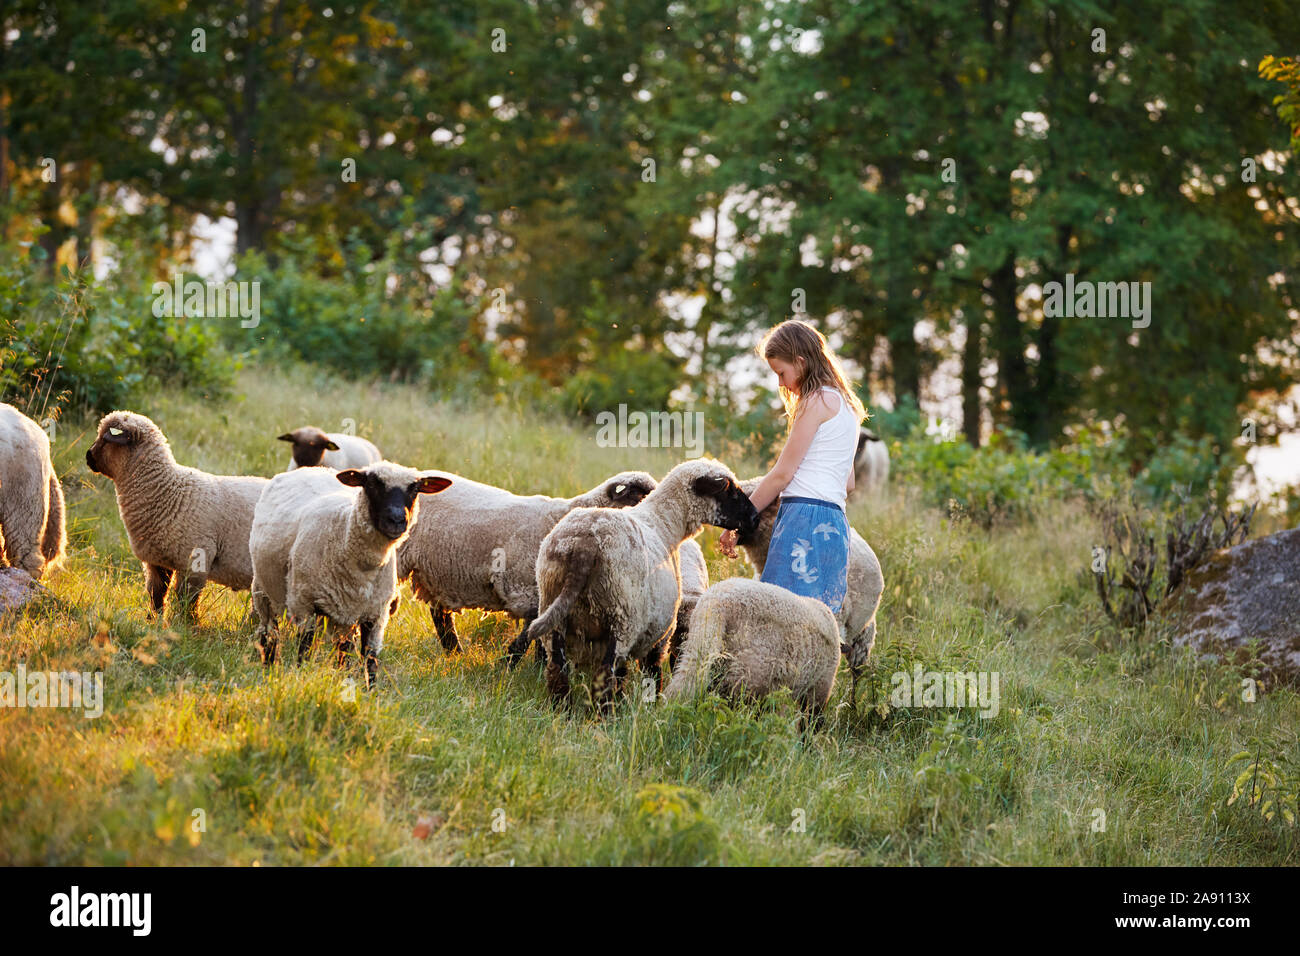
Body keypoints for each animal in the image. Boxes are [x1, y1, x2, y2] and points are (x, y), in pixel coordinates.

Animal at [86, 411, 270, 619]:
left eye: (105, 439)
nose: (87, 456)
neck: (169, 492)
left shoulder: (195, 562)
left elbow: (186, 601)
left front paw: (187, 623)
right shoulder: (157, 562)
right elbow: (156, 595)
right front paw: (154, 621)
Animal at [250, 462, 451, 686]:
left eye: (415, 489)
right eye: (372, 484)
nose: (397, 520)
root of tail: (310, 468)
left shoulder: (376, 613)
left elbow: (370, 659)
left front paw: (371, 691)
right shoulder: (303, 603)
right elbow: (305, 650)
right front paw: (301, 677)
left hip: (344, 613)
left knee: (343, 648)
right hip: (262, 589)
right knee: (269, 632)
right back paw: (268, 666)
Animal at [394, 469, 657, 659]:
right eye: (639, 496)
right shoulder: (527, 590)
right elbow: (527, 638)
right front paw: (507, 664)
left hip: (437, 572)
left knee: (440, 613)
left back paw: (455, 652)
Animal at [527, 458, 759, 709]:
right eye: (729, 490)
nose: (755, 518)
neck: (665, 523)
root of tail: (585, 544)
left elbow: (623, 675)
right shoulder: (661, 634)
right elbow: (653, 672)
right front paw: (653, 704)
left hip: (554, 612)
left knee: (558, 671)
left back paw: (563, 712)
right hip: (622, 618)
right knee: (604, 677)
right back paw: (604, 716)